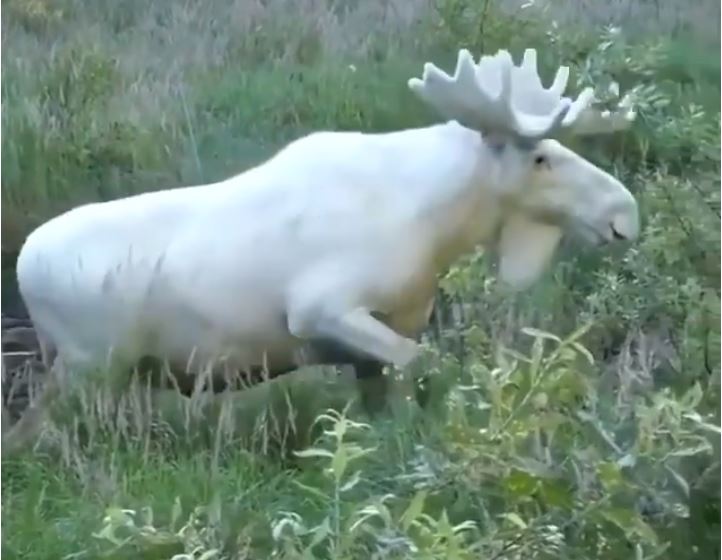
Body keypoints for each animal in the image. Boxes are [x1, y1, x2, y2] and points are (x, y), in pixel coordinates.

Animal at [3, 47, 640, 454]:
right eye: (542, 157)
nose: (624, 212)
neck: (440, 224)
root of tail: (23, 262)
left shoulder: (384, 334)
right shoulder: (318, 309)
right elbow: (426, 365)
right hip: (90, 365)